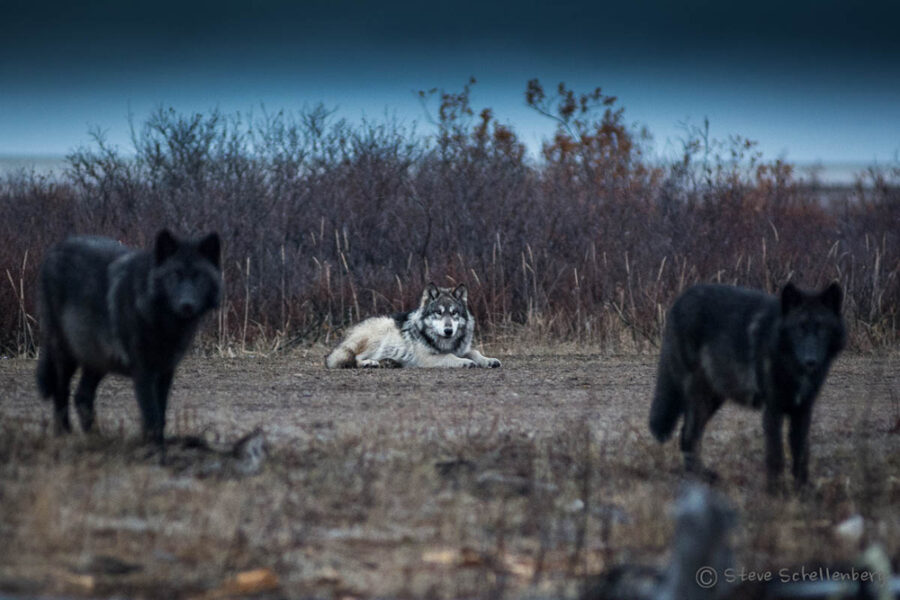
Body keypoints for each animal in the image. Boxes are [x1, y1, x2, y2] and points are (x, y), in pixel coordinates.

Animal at [36, 229, 222, 445]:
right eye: (174, 275)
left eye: (199, 277)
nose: (187, 304)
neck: (162, 321)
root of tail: (54, 249)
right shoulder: (144, 372)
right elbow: (151, 417)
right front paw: (156, 451)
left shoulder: (165, 371)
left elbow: (161, 416)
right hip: (66, 354)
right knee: (61, 393)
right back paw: (65, 436)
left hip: (98, 359)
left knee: (82, 396)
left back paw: (98, 439)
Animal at [325, 283, 501, 369]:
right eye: (439, 312)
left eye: (453, 313)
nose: (448, 330)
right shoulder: (426, 358)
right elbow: (449, 356)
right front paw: (465, 362)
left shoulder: (462, 349)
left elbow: (475, 352)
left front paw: (488, 360)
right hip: (381, 332)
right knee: (355, 358)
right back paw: (370, 363)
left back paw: (390, 362)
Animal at [648, 282, 846, 489]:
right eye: (799, 329)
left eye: (822, 329)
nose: (810, 361)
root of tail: (681, 298)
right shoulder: (773, 410)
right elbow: (776, 455)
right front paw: (776, 490)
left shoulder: (803, 411)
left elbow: (800, 454)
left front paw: (802, 490)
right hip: (699, 397)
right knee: (688, 435)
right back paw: (697, 478)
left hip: (713, 398)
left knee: (688, 435)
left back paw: (702, 475)